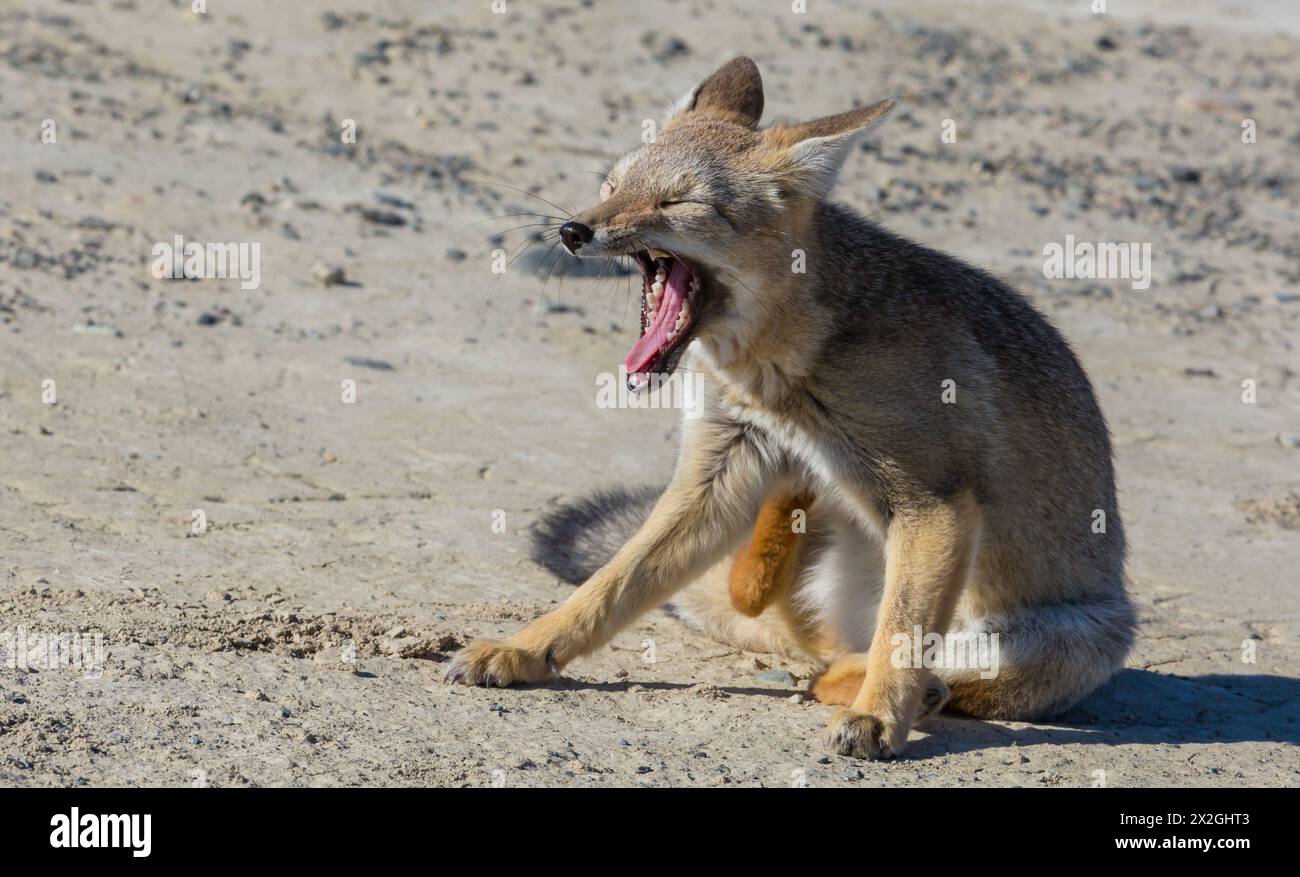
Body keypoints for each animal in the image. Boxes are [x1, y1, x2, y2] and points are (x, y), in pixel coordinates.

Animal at [447, 57, 1135, 759]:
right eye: (611, 187)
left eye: (677, 202)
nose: (572, 230)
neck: (781, 380)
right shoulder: (722, 466)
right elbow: (607, 588)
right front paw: (525, 650)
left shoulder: (935, 504)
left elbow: (902, 637)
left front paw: (878, 717)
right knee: (794, 630)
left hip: (1057, 638)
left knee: (894, 665)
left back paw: (885, 687)